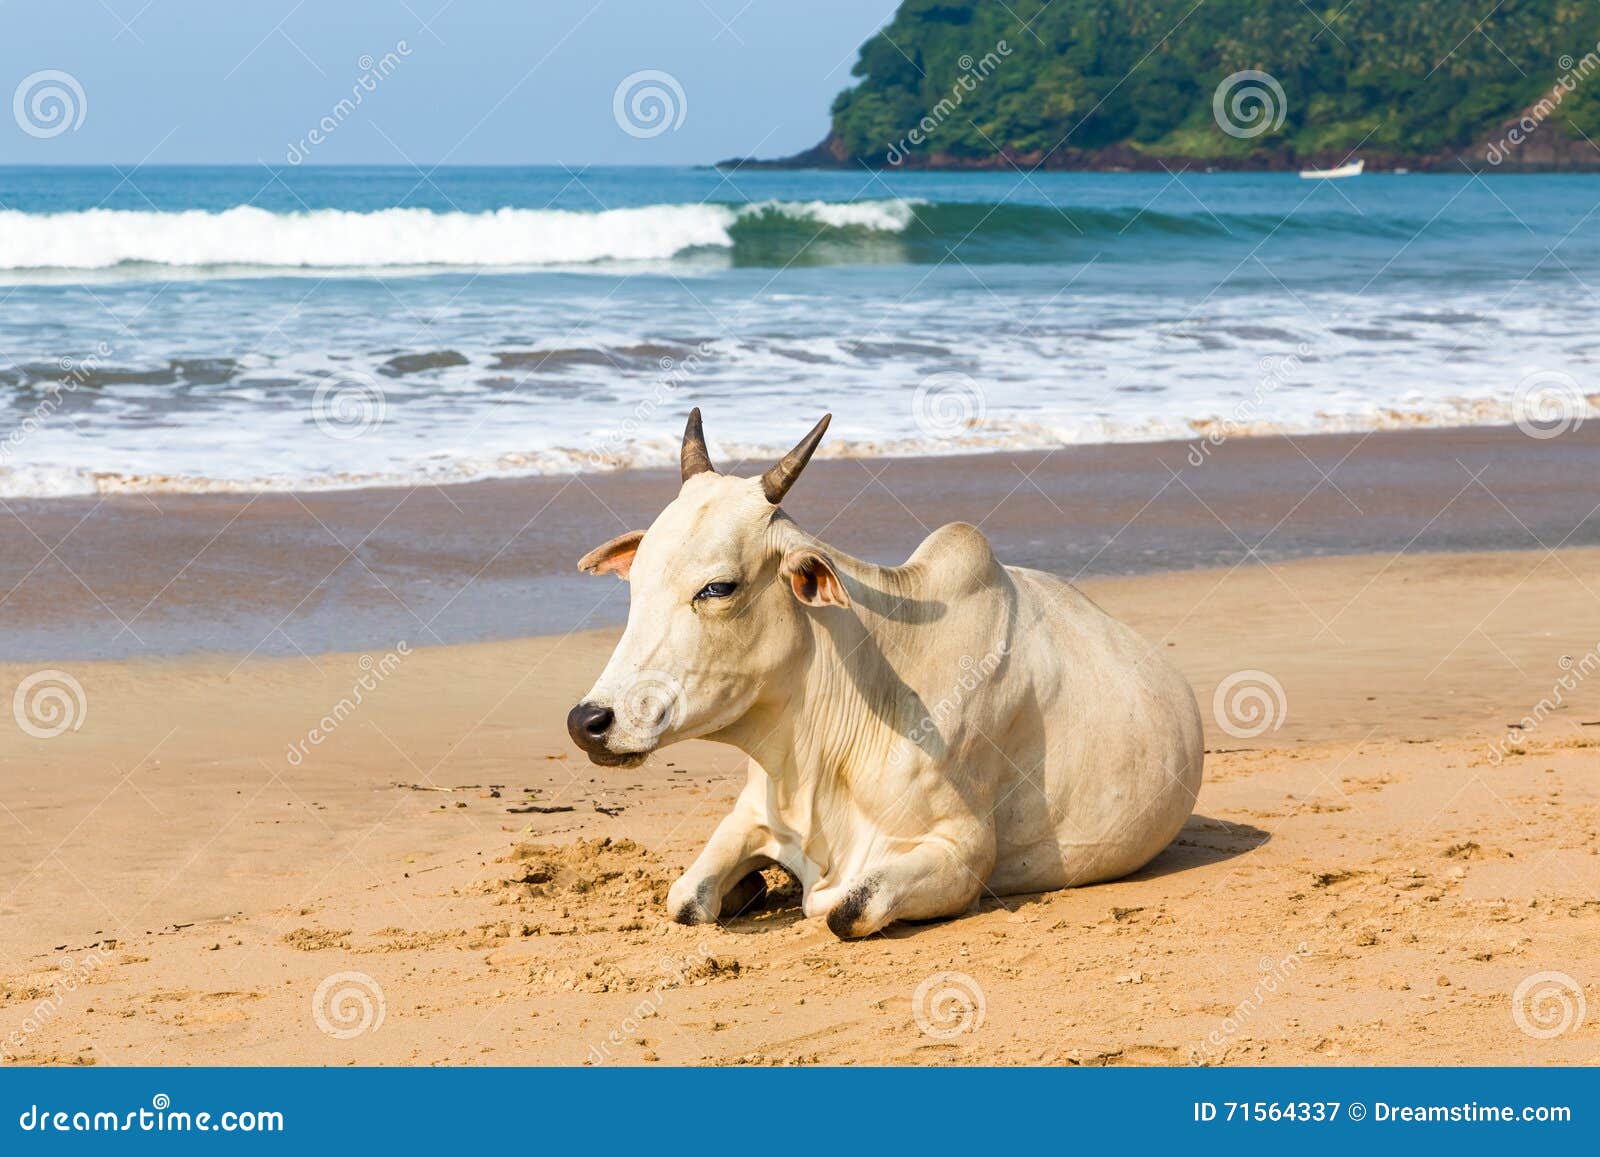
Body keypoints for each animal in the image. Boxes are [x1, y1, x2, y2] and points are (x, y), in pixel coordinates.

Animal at [567, 410, 1205, 939]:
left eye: (718, 587)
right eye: (635, 581)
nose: (588, 721)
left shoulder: (962, 853)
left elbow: (840, 905)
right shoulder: (750, 811)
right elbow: (684, 899)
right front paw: (747, 884)